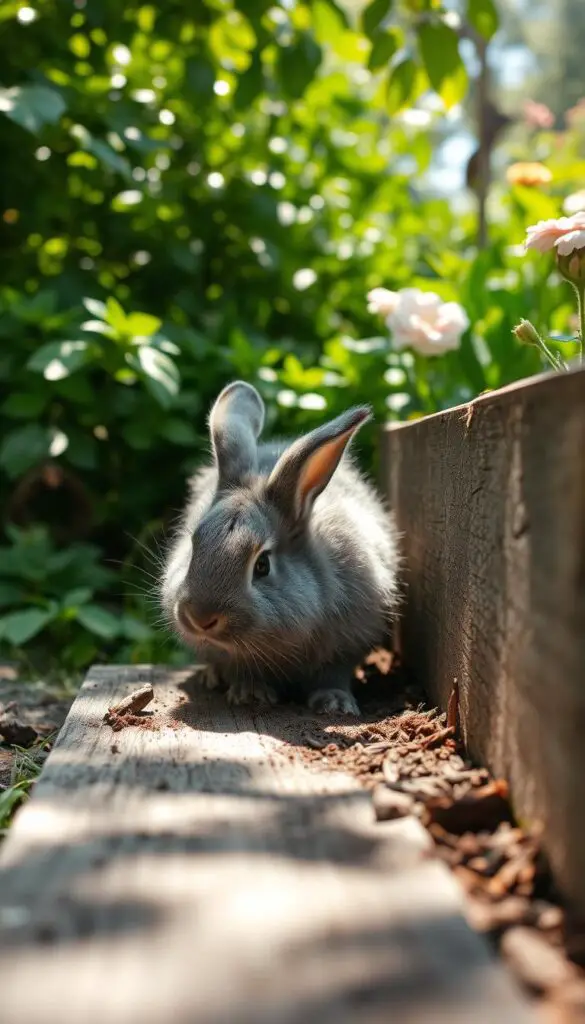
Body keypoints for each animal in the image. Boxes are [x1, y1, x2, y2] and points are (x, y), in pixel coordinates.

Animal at [161, 380, 400, 715]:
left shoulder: (347, 645)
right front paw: (250, 694)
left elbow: (334, 675)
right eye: (194, 545)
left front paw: (335, 703)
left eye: (262, 565)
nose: (200, 618)